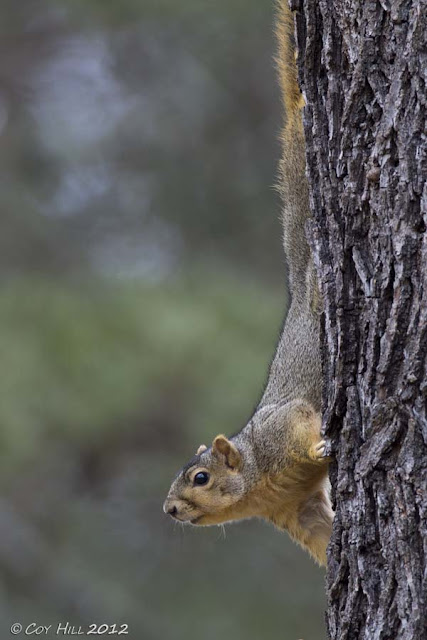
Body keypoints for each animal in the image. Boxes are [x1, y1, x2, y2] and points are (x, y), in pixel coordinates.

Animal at [163, 1, 333, 566]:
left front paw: (322, 446)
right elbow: (323, 536)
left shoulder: (284, 426)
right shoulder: (296, 511)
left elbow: (304, 423)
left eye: (200, 477)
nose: (169, 509)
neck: (258, 480)